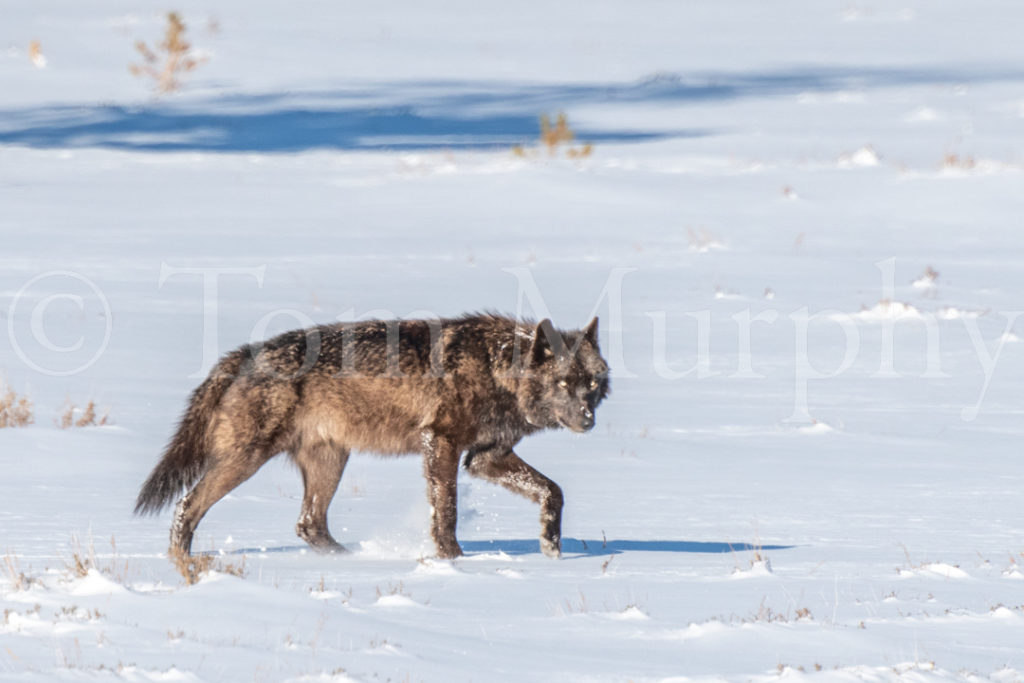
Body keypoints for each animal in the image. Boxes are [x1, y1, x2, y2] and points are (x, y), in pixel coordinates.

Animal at [134, 313, 610, 560]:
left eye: (590, 383)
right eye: (563, 384)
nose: (588, 420)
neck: (497, 367)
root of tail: (246, 354)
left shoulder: (484, 457)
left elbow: (553, 492)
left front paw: (551, 548)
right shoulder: (441, 442)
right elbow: (446, 513)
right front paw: (454, 562)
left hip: (330, 462)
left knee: (309, 524)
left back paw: (351, 560)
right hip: (246, 461)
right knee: (187, 505)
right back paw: (182, 566)